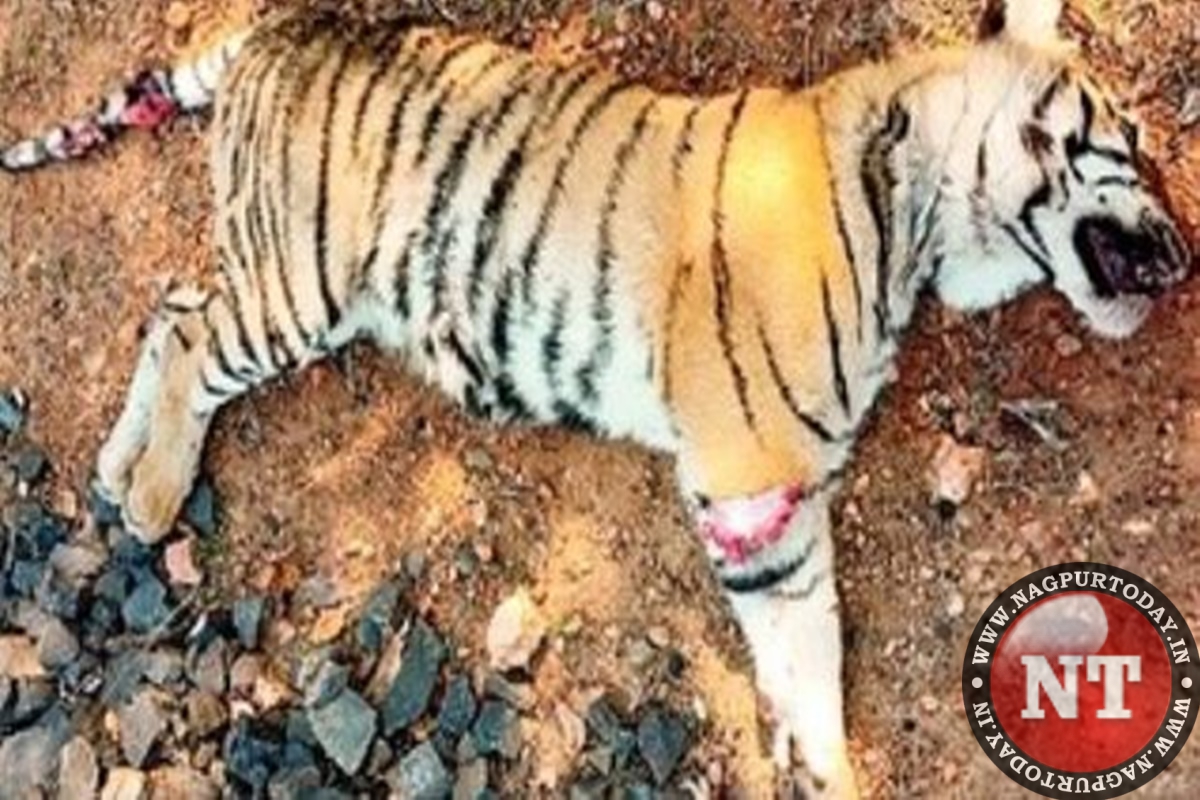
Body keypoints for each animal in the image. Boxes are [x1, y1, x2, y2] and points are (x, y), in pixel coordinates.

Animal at [1, 0, 1191, 795]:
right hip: (302, 282)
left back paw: (117, 471)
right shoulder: (750, 478)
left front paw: (812, 755)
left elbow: (803, 650)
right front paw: (829, 762)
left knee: (169, 304)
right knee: (190, 329)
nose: (1183, 257)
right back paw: (150, 491)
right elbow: (807, 642)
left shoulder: (777, 493)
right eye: (1126, 140)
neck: (925, 213)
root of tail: (285, 26)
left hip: (282, 276)